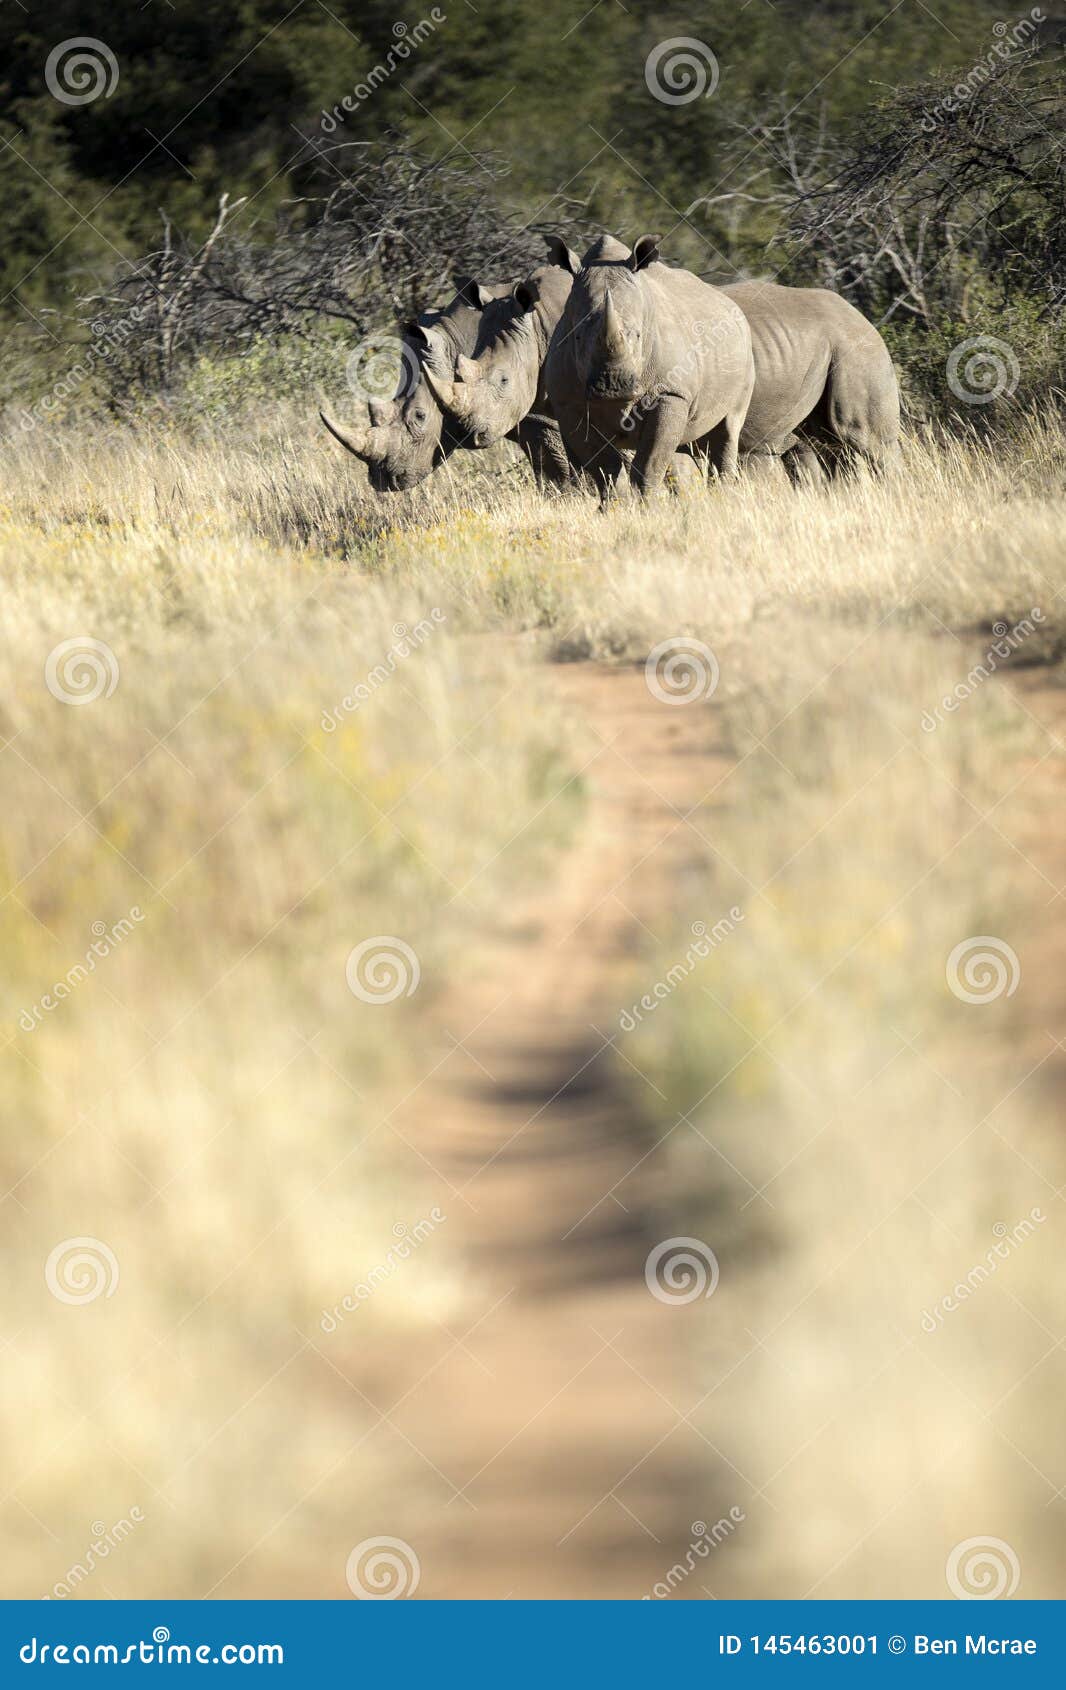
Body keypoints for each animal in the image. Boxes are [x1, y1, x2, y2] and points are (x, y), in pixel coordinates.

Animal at [427, 238, 901, 489]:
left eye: (504, 381)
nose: (470, 434)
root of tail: (864, 317)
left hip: (857, 347)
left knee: (862, 440)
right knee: (820, 446)